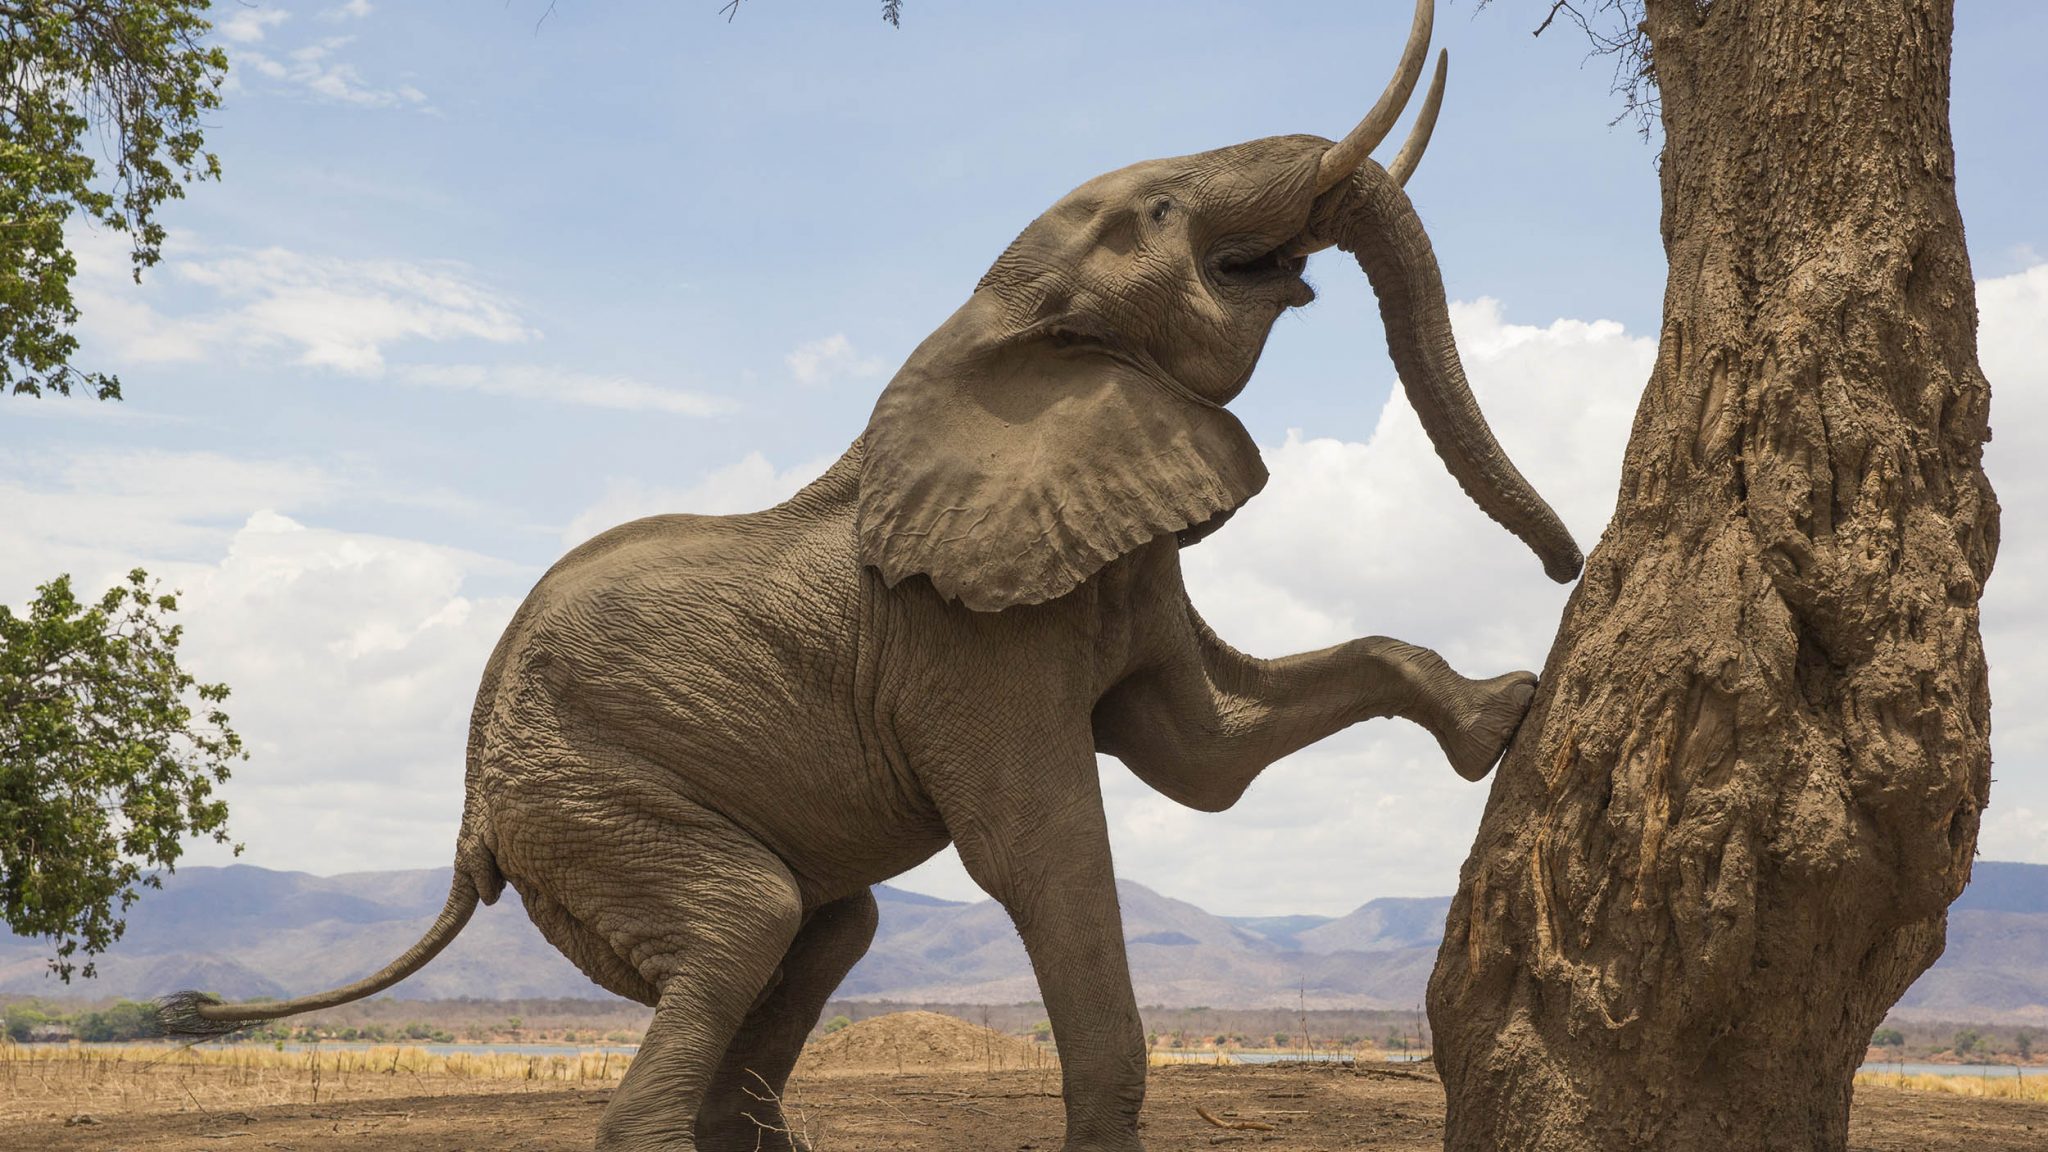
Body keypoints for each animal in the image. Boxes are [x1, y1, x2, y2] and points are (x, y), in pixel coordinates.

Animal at [160, 2, 1581, 1148]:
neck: (990, 326)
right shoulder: (962, 638)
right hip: (584, 795)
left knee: (822, 929)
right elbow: (1045, 850)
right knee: (743, 921)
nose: (1566, 560)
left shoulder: (1104, 555)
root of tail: (466, 817)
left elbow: (1208, 755)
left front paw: (1503, 716)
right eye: (1163, 215)